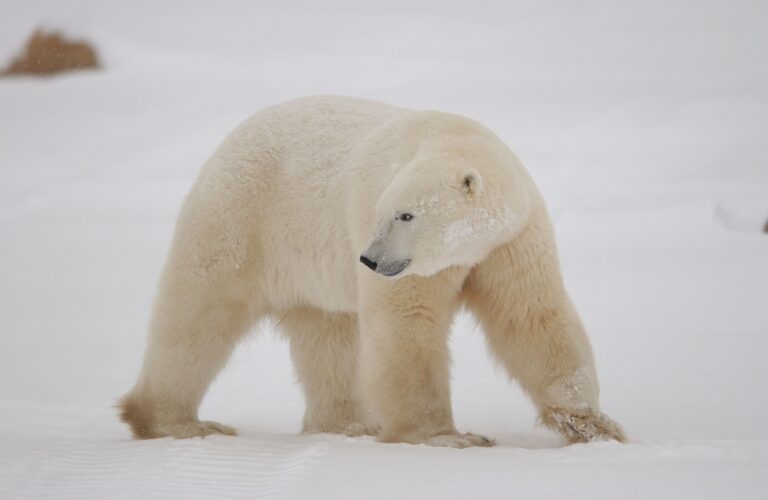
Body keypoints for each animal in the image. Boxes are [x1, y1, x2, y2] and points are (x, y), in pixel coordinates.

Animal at [119, 95, 625, 447]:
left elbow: (532, 316)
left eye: (406, 215)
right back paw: (179, 423)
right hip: (242, 218)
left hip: (309, 269)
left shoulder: (510, 240)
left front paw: (593, 425)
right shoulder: (406, 251)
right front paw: (448, 436)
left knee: (328, 336)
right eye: (384, 212)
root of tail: (229, 141)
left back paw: (348, 423)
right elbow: (408, 326)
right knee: (198, 315)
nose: (369, 259)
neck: (450, 134)